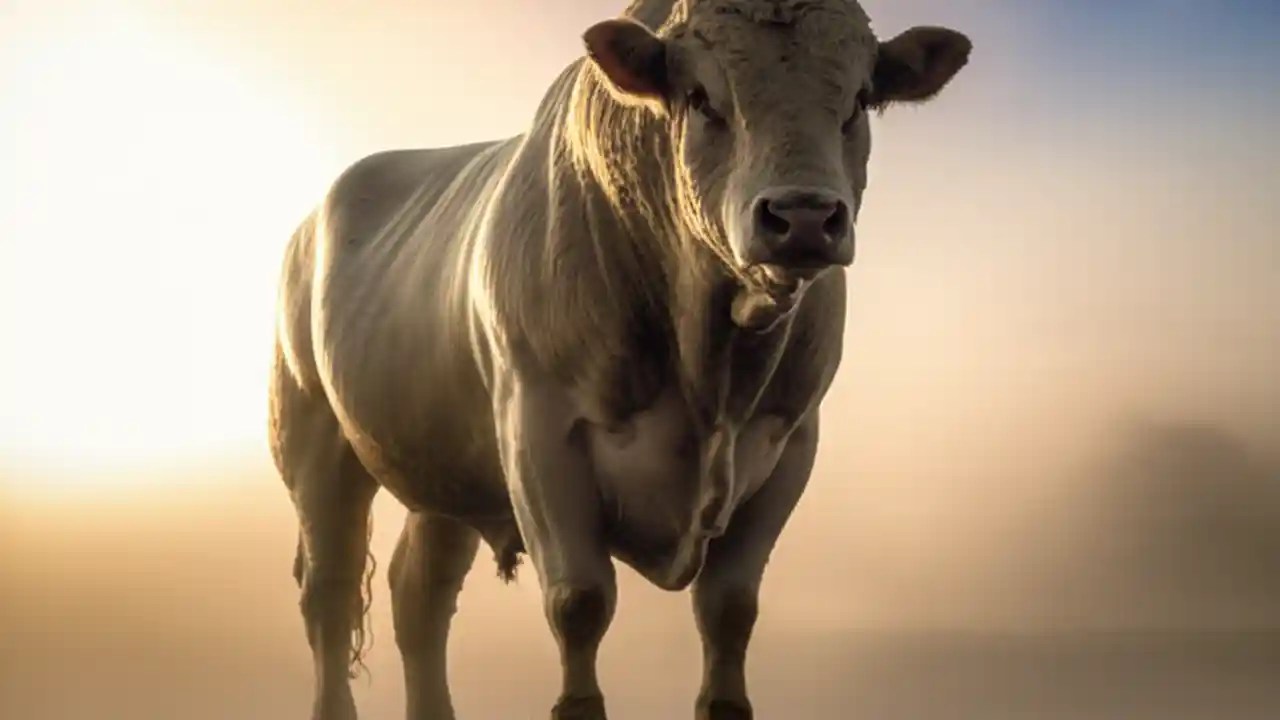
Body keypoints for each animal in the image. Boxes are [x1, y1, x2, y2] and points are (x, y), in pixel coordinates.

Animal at [269, 1, 971, 718]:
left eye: (858, 99)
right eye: (700, 97)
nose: (802, 217)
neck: (714, 367)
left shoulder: (789, 443)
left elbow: (729, 610)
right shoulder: (538, 434)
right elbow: (579, 601)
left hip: (441, 461)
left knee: (420, 593)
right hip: (315, 437)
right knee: (328, 594)